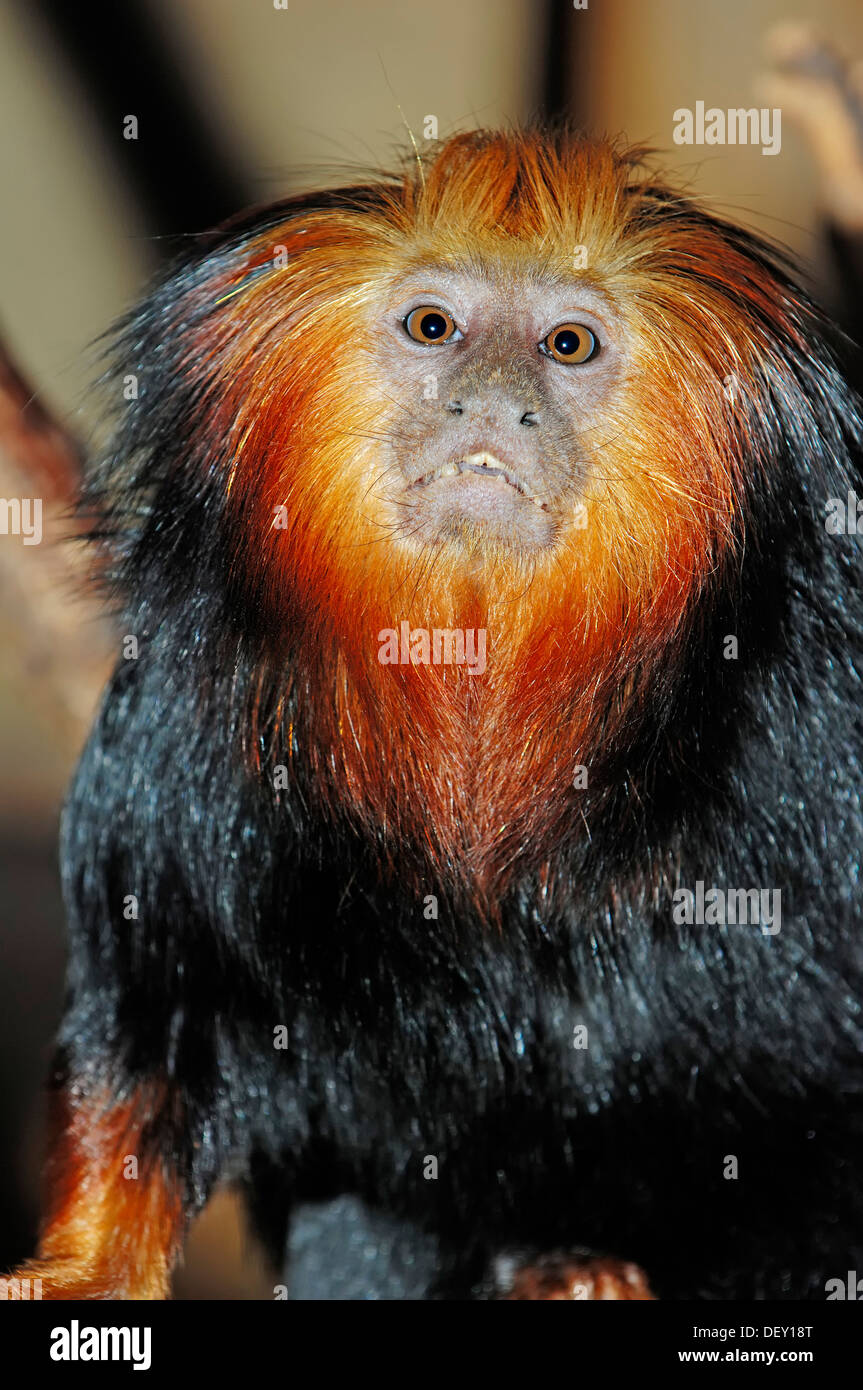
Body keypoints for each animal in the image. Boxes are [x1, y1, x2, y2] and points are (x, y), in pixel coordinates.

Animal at [5, 127, 863, 1300]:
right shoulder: (176, 723)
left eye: (565, 344)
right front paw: (88, 1265)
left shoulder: (818, 726)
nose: (494, 404)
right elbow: (146, 1022)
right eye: (432, 328)